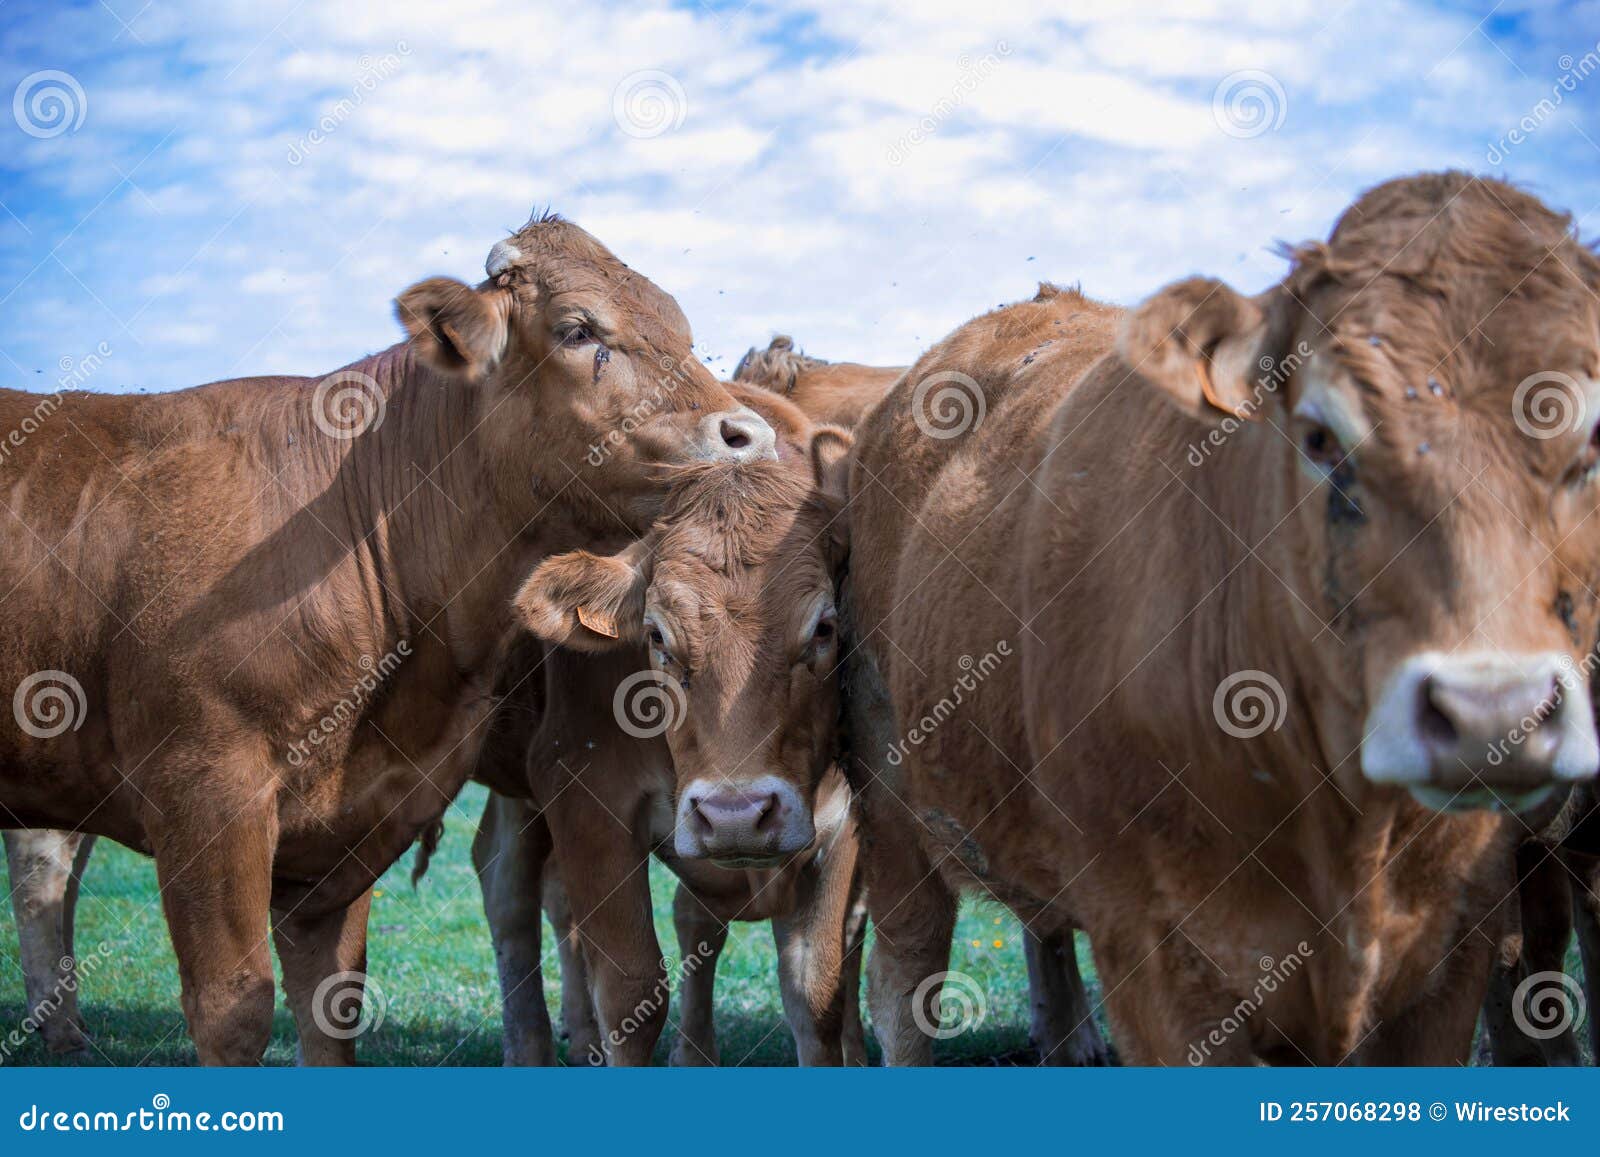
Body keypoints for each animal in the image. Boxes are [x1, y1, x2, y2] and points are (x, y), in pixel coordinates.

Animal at [0, 211, 774, 1065]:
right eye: (578, 329)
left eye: (681, 328)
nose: (753, 435)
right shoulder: (203, 796)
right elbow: (232, 1006)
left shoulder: (342, 837)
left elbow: (331, 1003)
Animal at [844, 172, 1600, 1065]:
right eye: (1320, 437)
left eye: (1591, 445)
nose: (1492, 713)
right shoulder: (1153, 956)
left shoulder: (1460, 943)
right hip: (889, 792)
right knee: (904, 976)